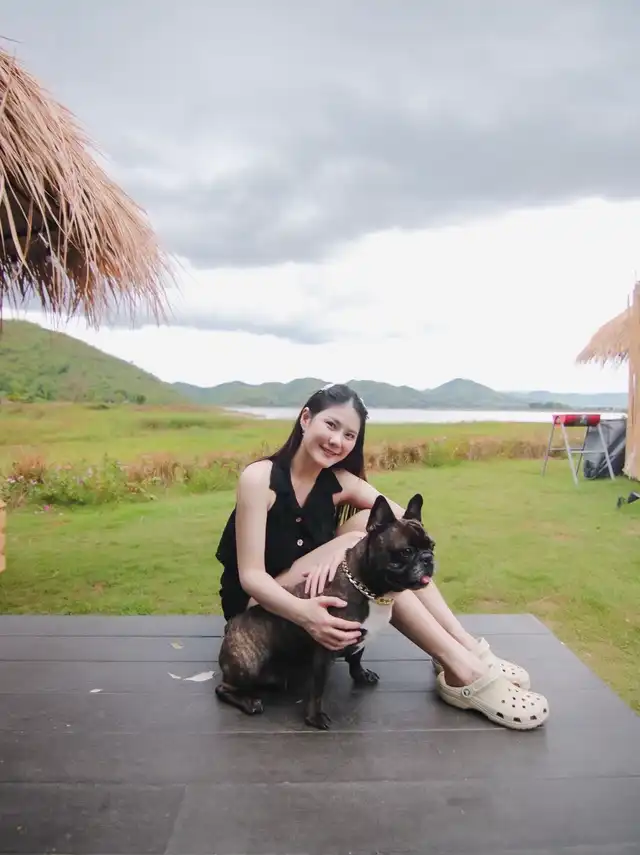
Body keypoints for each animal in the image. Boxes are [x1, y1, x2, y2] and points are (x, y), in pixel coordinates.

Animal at [215, 492, 436, 730]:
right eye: (406, 552)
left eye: (432, 546)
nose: (428, 558)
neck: (368, 589)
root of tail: (232, 624)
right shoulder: (325, 649)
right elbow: (318, 689)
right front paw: (314, 717)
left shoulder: (359, 638)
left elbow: (356, 658)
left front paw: (361, 675)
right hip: (249, 665)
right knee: (223, 688)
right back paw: (249, 702)